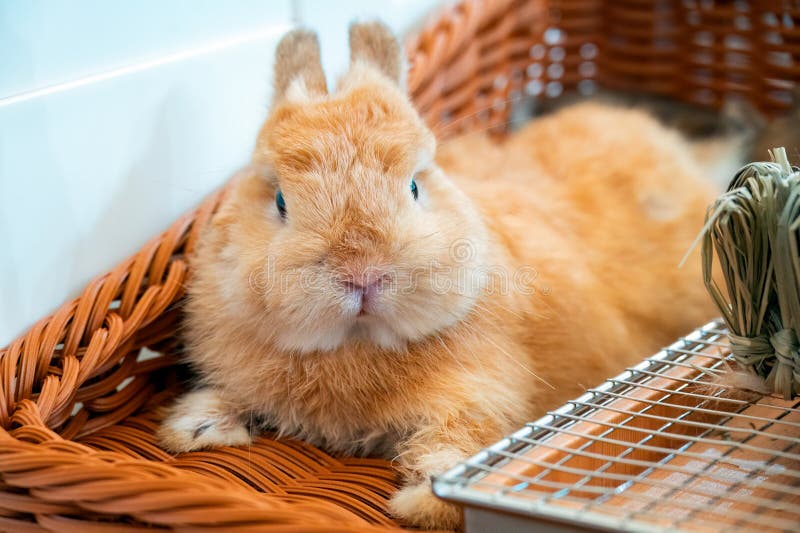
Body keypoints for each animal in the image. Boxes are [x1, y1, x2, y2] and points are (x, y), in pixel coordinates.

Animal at [157, 21, 718, 530]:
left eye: (413, 187)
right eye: (279, 201)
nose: (362, 275)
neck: (356, 344)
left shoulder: (480, 398)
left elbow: (454, 448)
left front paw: (423, 503)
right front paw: (193, 428)